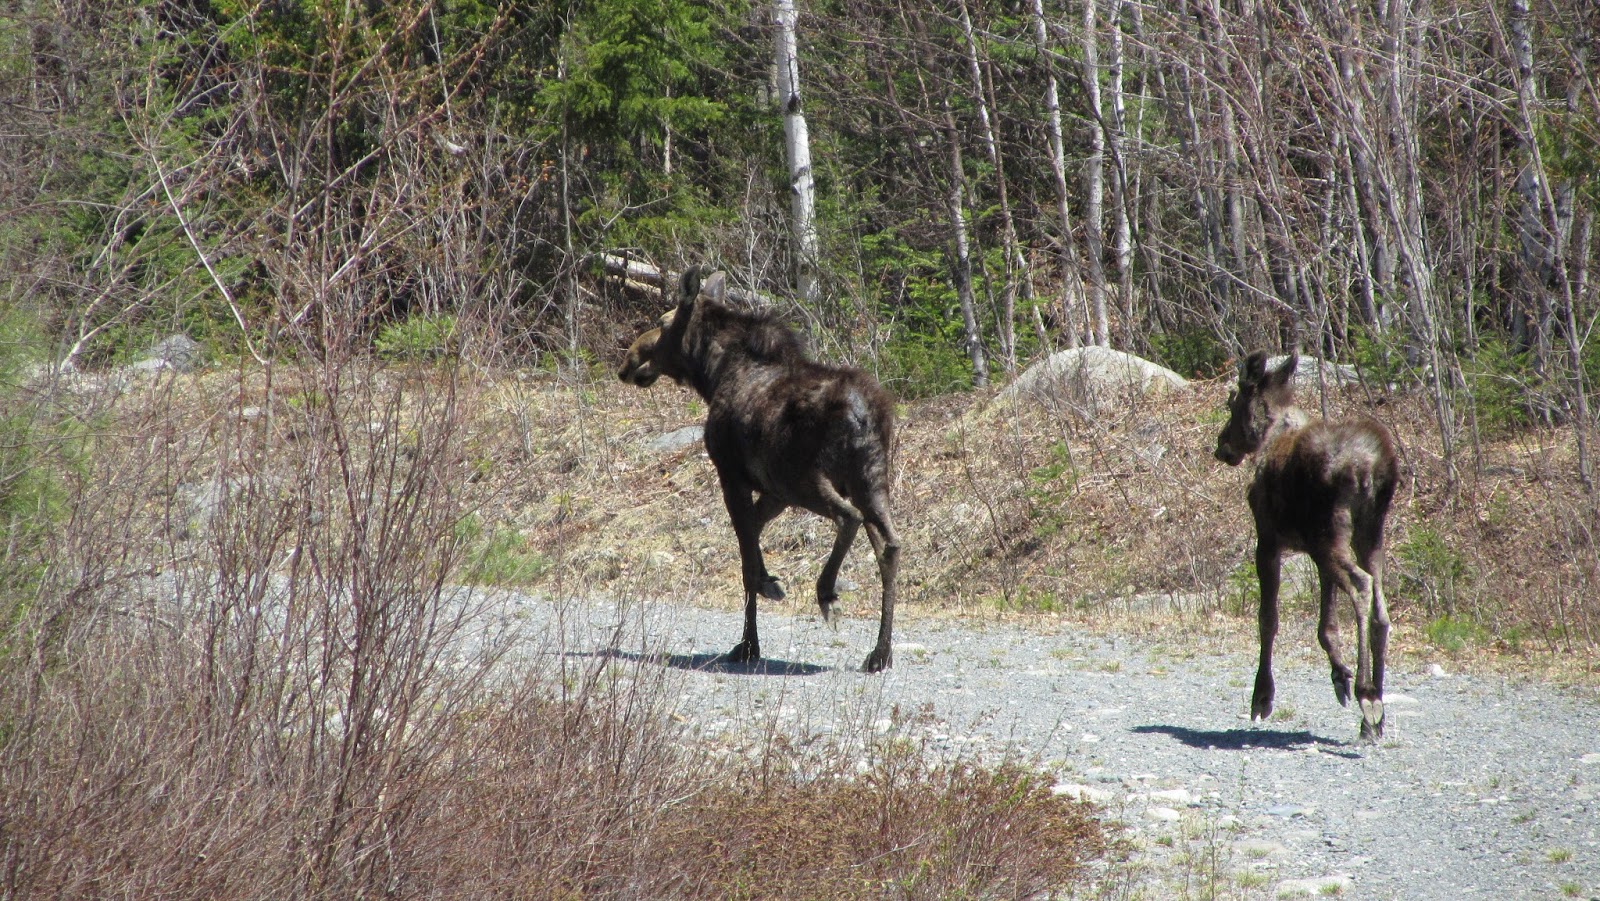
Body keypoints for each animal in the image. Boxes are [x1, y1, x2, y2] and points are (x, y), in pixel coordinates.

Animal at [619, 265, 901, 673]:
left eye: (662, 322)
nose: (629, 360)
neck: (713, 375)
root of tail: (864, 411)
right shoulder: (772, 493)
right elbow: (752, 542)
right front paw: (768, 586)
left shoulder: (732, 475)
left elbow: (746, 560)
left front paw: (749, 643)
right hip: (871, 480)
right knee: (889, 545)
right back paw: (880, 652)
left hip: (807, 478)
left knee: (848, 517)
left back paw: (827, 594)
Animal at [1214, 351, 1400, 741]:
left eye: (1231, 402)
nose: (1221, 444)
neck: (1270, 434)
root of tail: (1368, 468)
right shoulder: (1314, 550)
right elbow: (1326, 625)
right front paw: (1339, 675)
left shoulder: (1268, 539)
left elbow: (1268, 618)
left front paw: (1262, 695)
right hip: (1368, 533)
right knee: (1380, 608)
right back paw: (1375, 712)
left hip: (1332, 533)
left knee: (1361, 585)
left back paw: (1366, 694)